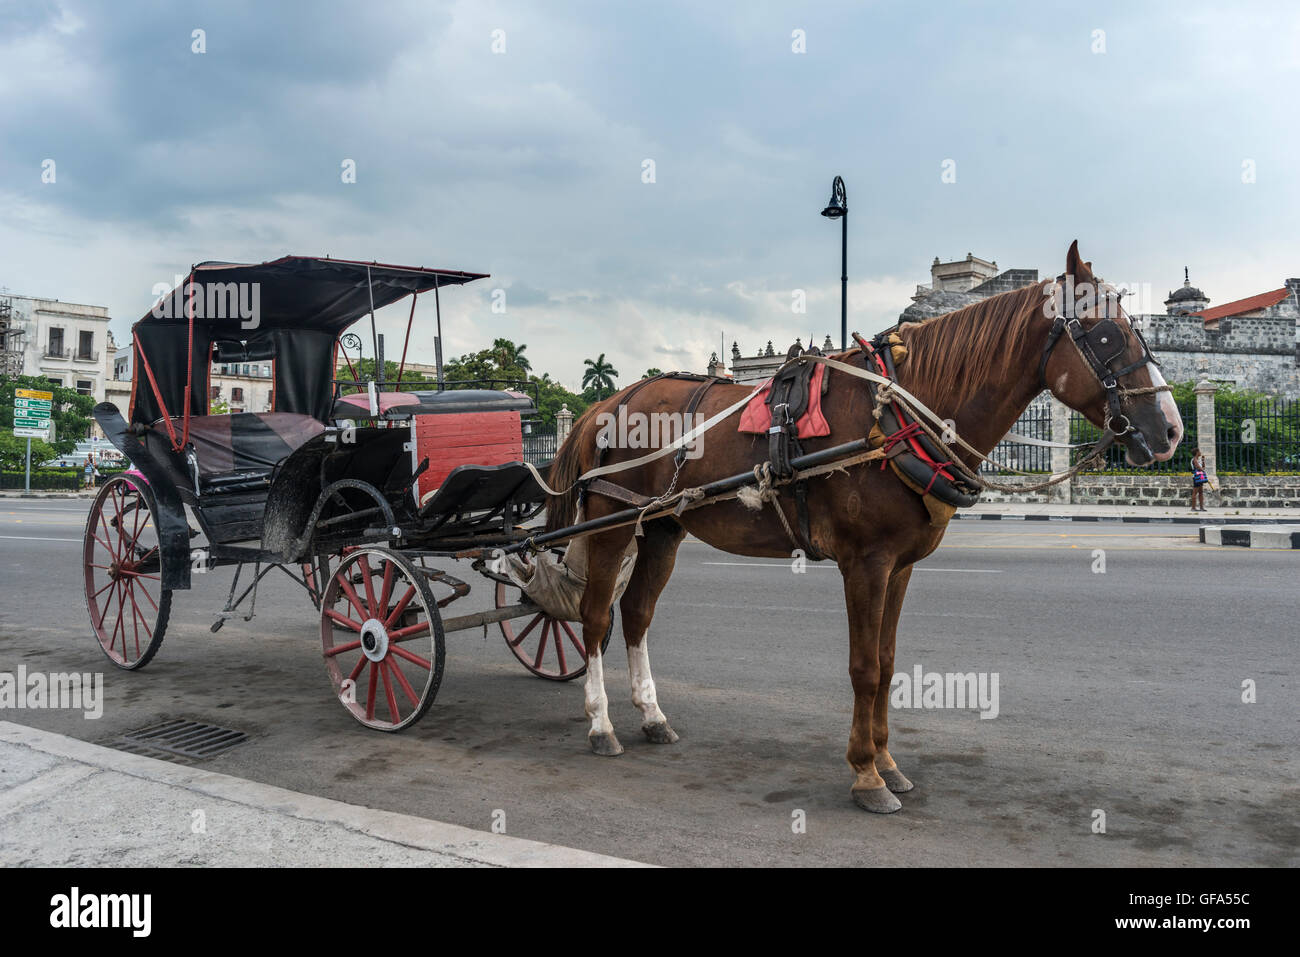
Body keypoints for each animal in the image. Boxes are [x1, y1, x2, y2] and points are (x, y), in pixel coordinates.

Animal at [544, 241, 1183, 813]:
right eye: (1107, 334)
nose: (1171, 430)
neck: (903, 413)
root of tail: (608, 402)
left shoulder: (899, 566)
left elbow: (890, 661)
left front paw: (888, 764)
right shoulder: (865, 563)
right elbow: (865, 667)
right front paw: (866, 776)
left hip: (662, 528)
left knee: (636, 614)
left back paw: (652, 716)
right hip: (609, 524)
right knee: (595, 617)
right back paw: (601, 725)